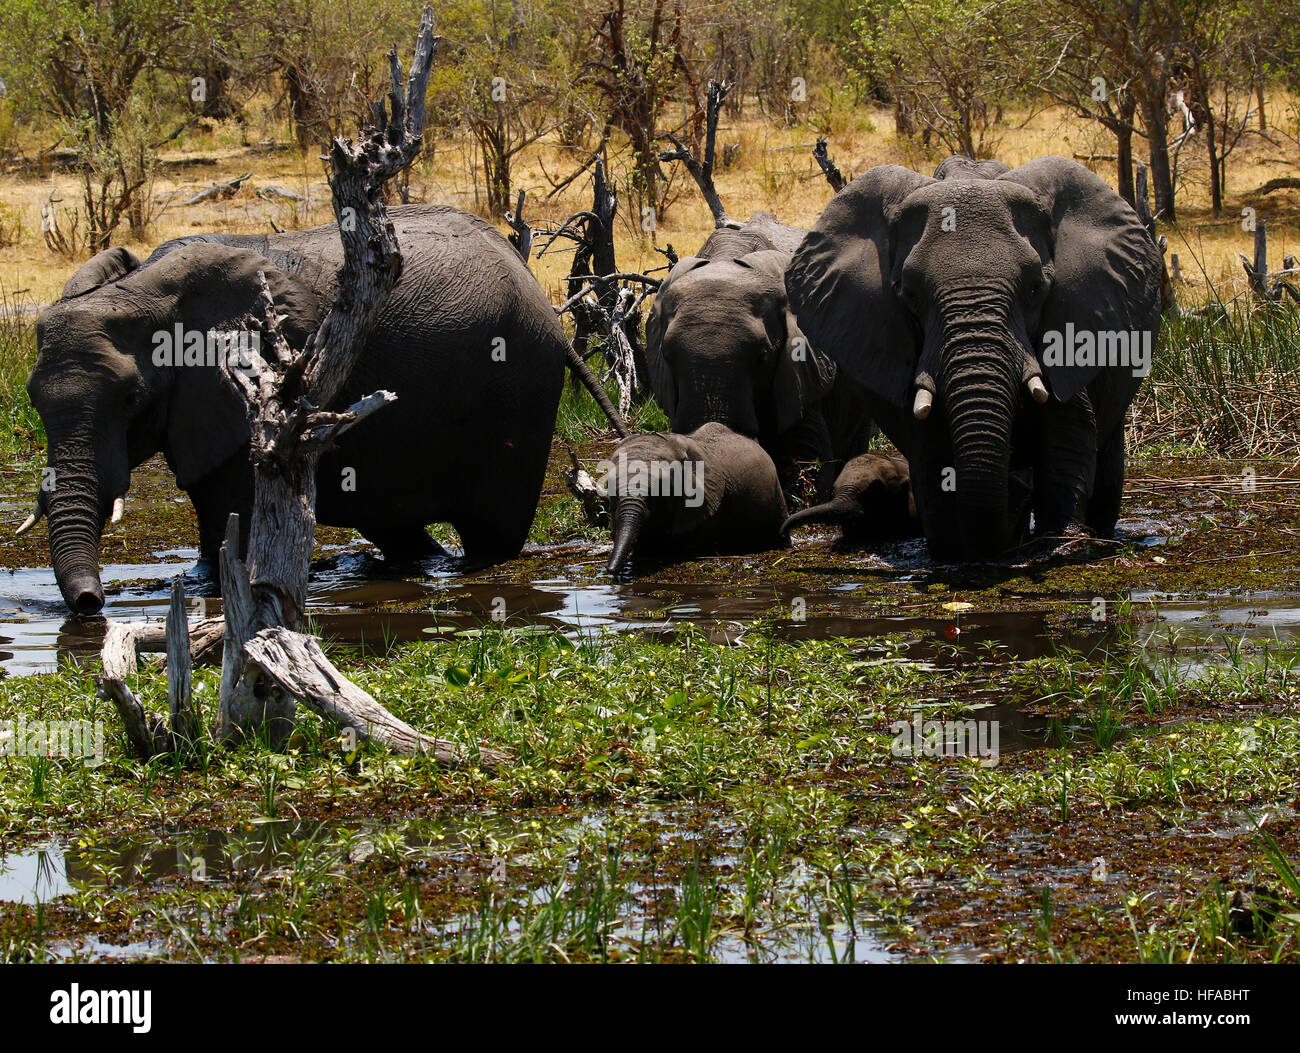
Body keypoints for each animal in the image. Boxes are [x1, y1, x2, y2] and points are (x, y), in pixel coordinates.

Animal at [23, 205, 570, 615]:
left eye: (133, 399)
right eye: (31, 400)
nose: (91, 604)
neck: (144, 290)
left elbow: (235, 522)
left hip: (521, 386)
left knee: (491, 532)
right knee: (395, 527)